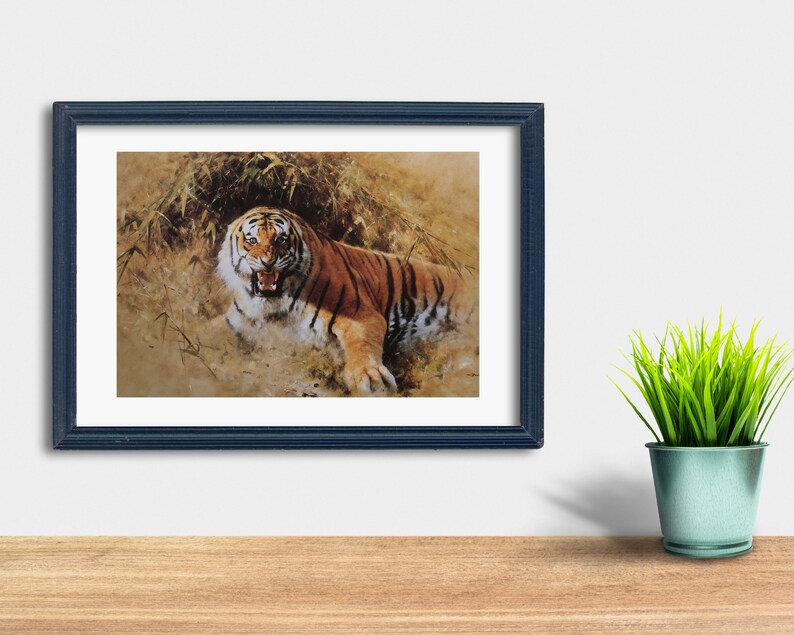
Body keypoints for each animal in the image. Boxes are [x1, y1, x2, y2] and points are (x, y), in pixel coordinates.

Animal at [217, 206, 476, 394]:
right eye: (252, 240)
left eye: (281, 240)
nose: (268, 261)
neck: (275, 304)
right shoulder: (235, 321)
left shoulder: (361, 315)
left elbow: (362, 345)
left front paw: (371, 377)